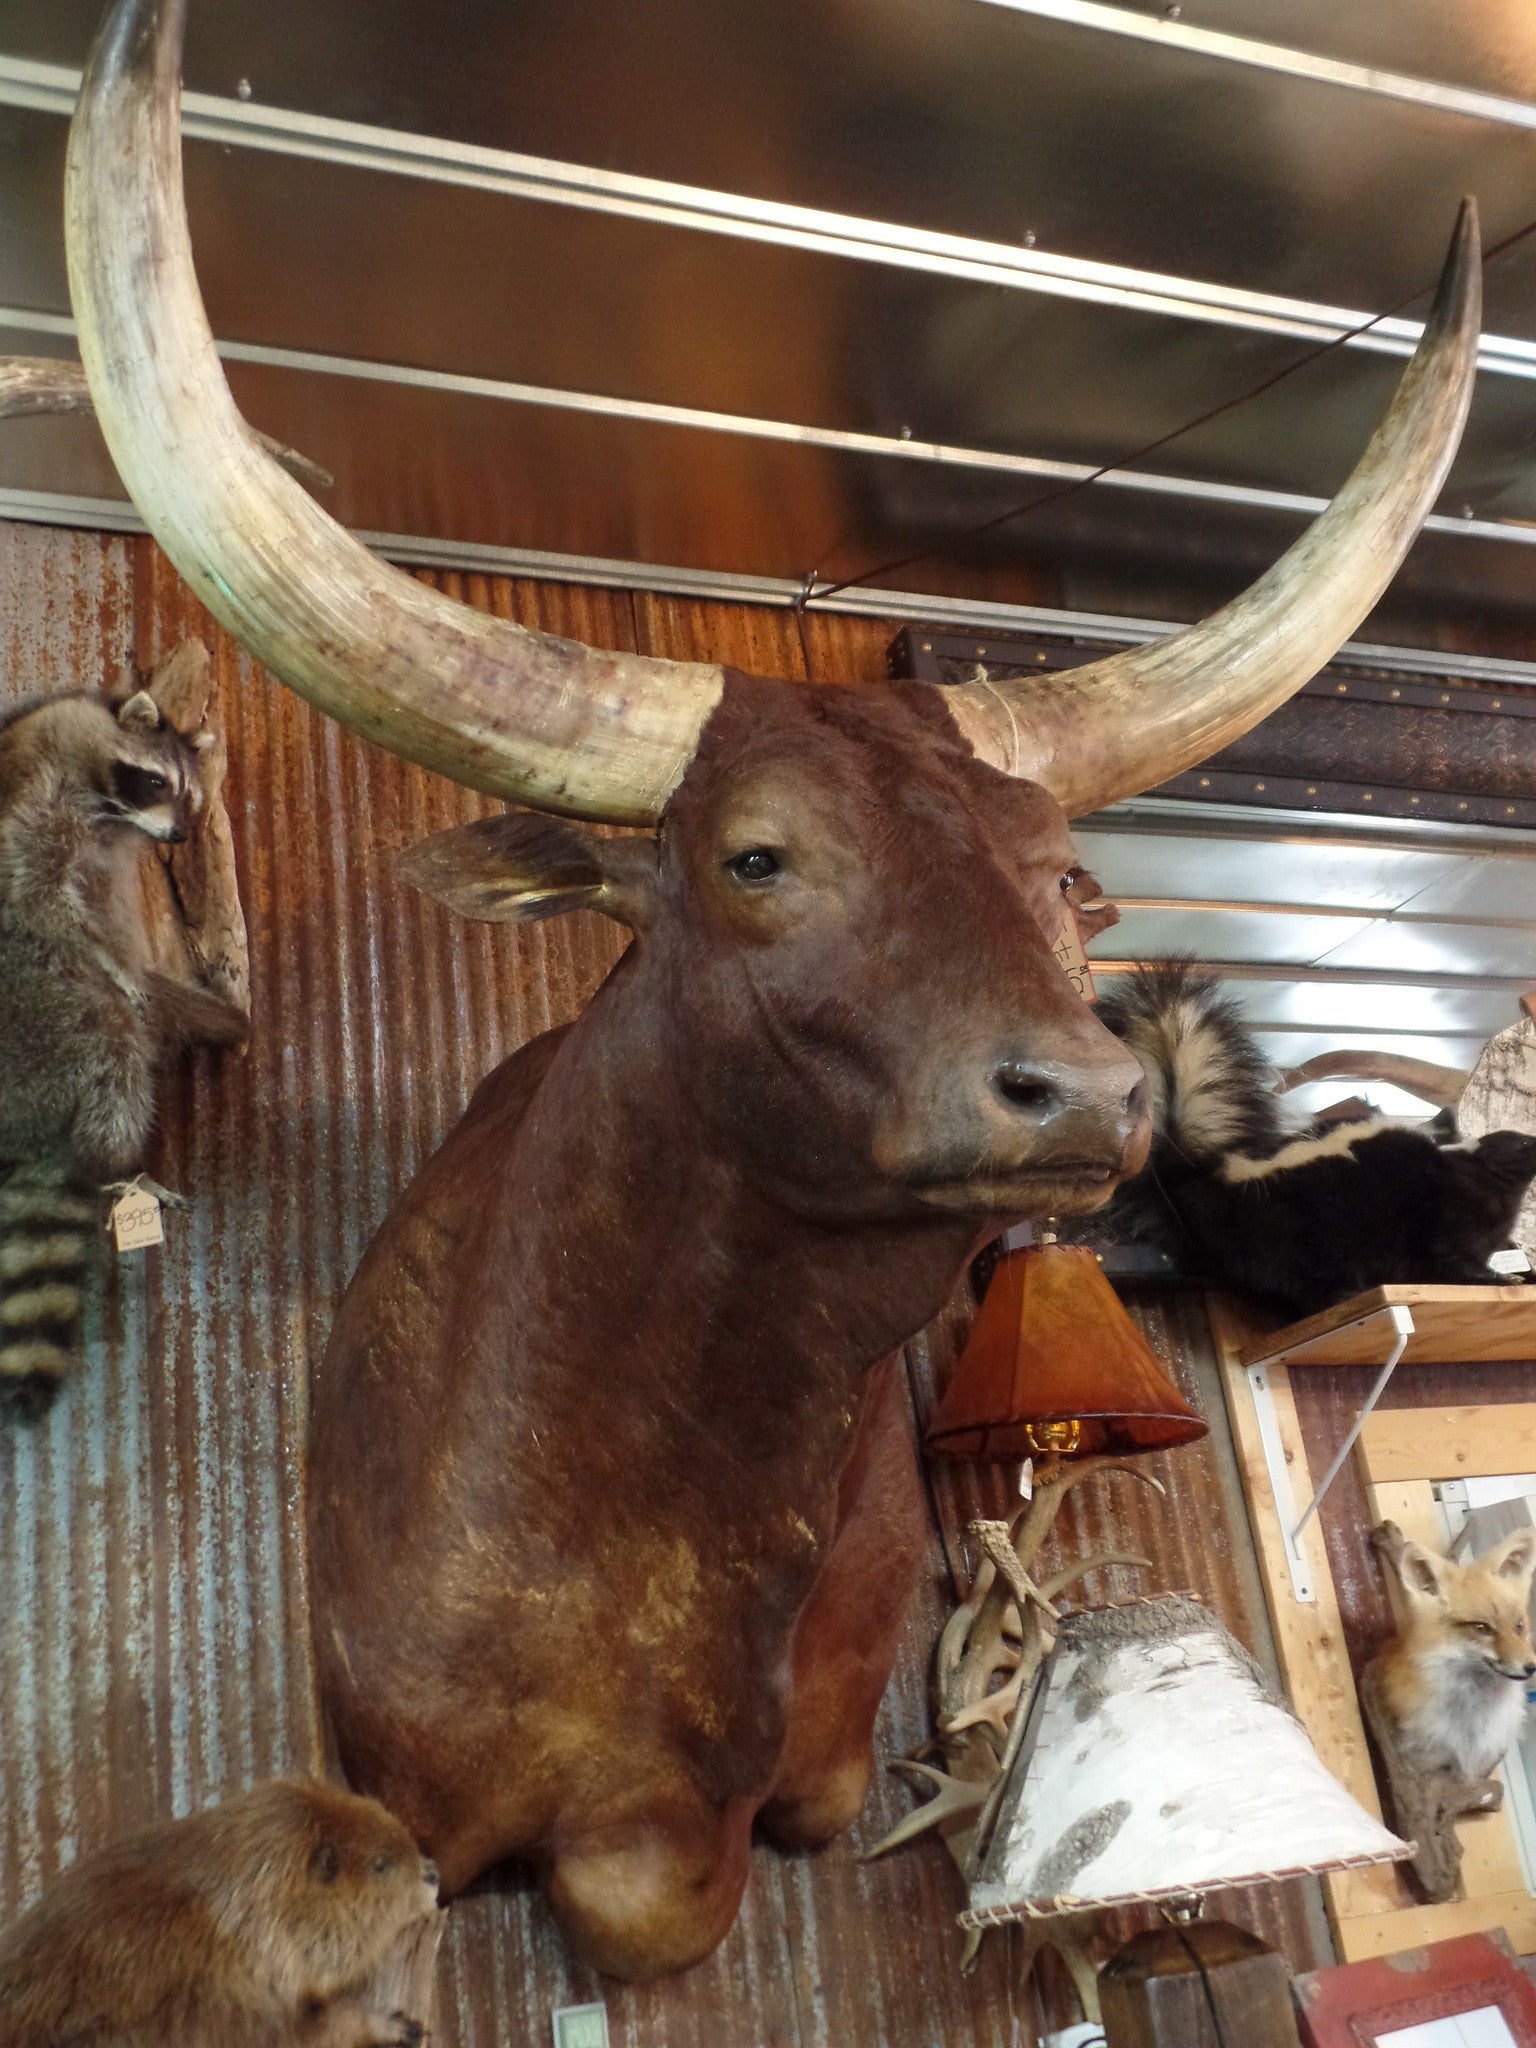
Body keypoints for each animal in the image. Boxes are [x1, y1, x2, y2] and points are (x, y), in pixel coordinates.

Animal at [65, 0, 1481, 1979]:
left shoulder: (790, 1769)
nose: (1086, 1095)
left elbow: (733, 1845)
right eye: (755, 856)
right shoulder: (416, 1789)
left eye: (1071, 881)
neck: (649, 1531)